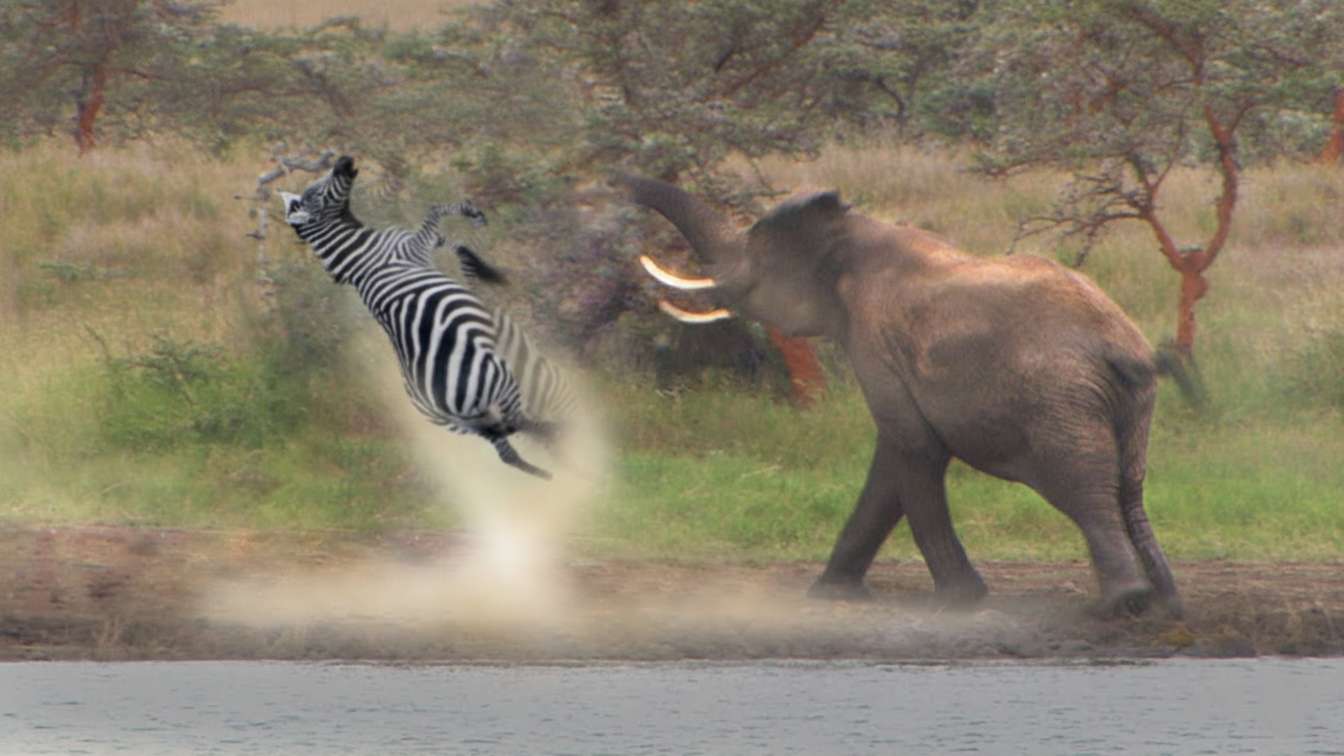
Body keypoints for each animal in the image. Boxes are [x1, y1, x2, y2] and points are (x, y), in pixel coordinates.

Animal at [613, 172, 1184, 618]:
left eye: (754, 265)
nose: (612, 183)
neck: (855, 233)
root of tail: (1121, 347)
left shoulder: (875, 343)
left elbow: (911, 448)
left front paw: (960, 602)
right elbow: (892, 464)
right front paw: (829, 595)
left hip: (1059, 398)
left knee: (1085, 486)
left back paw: (1121, 602)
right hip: (1130, 401)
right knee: (1128, 487)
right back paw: (1166, 603)